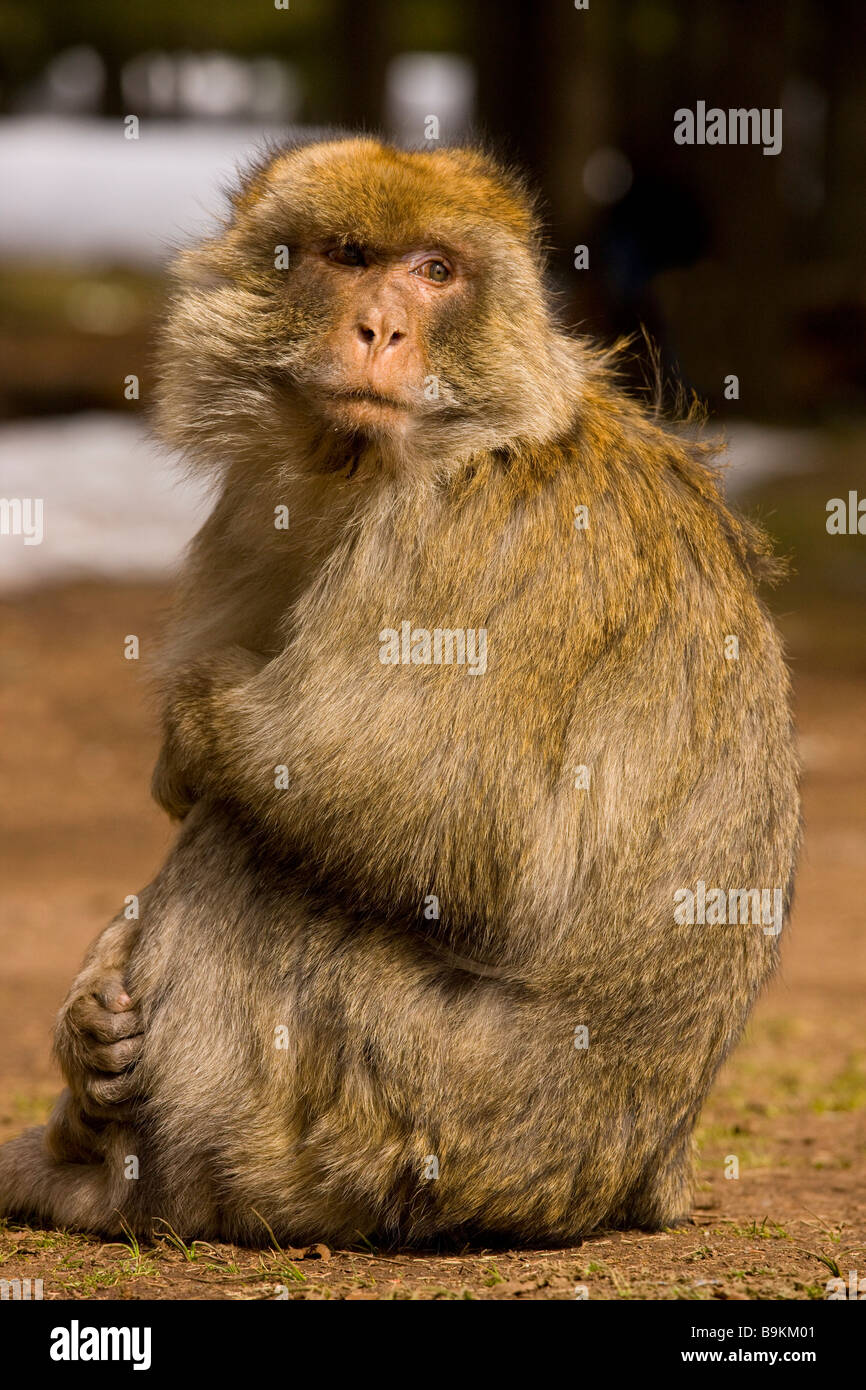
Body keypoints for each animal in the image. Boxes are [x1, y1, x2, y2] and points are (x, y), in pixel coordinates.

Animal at [0, 137, 799, 1246]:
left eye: (433, 270)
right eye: (348, 256)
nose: (381, 328)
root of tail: (635, 1180)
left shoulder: (471, 532)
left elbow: (464, 833)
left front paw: (191, 725)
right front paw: (87, 1018)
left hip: (429, 1110)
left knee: (250, 848)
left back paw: (120, 1186)